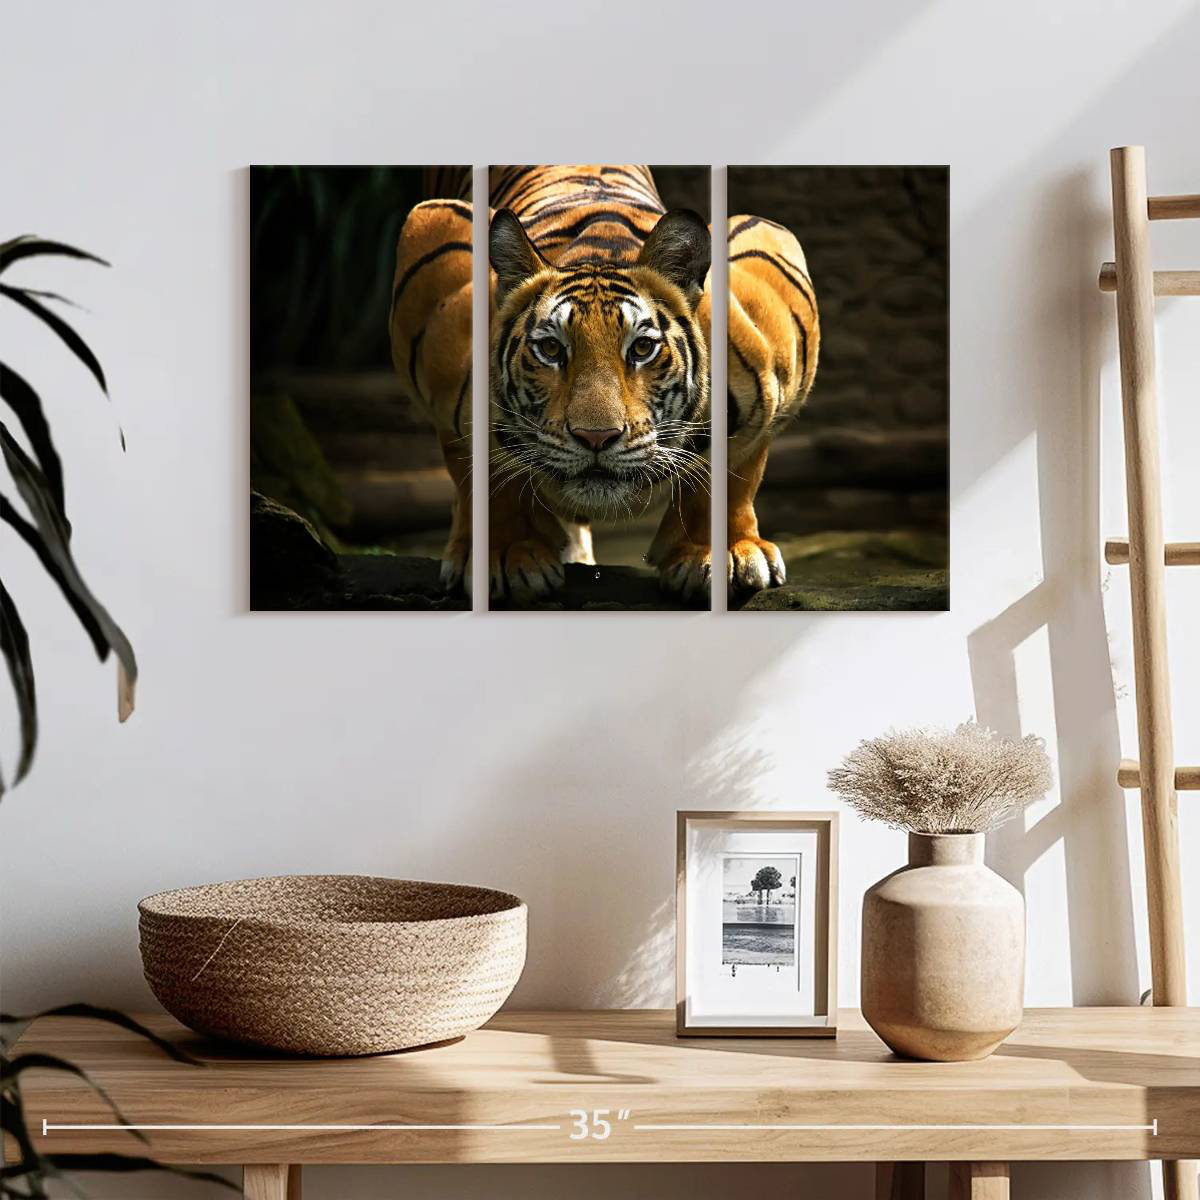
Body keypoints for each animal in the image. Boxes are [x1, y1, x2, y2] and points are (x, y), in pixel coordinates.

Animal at [388, 165, 819, 604]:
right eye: (551, 349)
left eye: (642, 348)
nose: (596, 437)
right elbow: (486, 472)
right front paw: (507, 553)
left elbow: (734, 471)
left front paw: (721, 551)